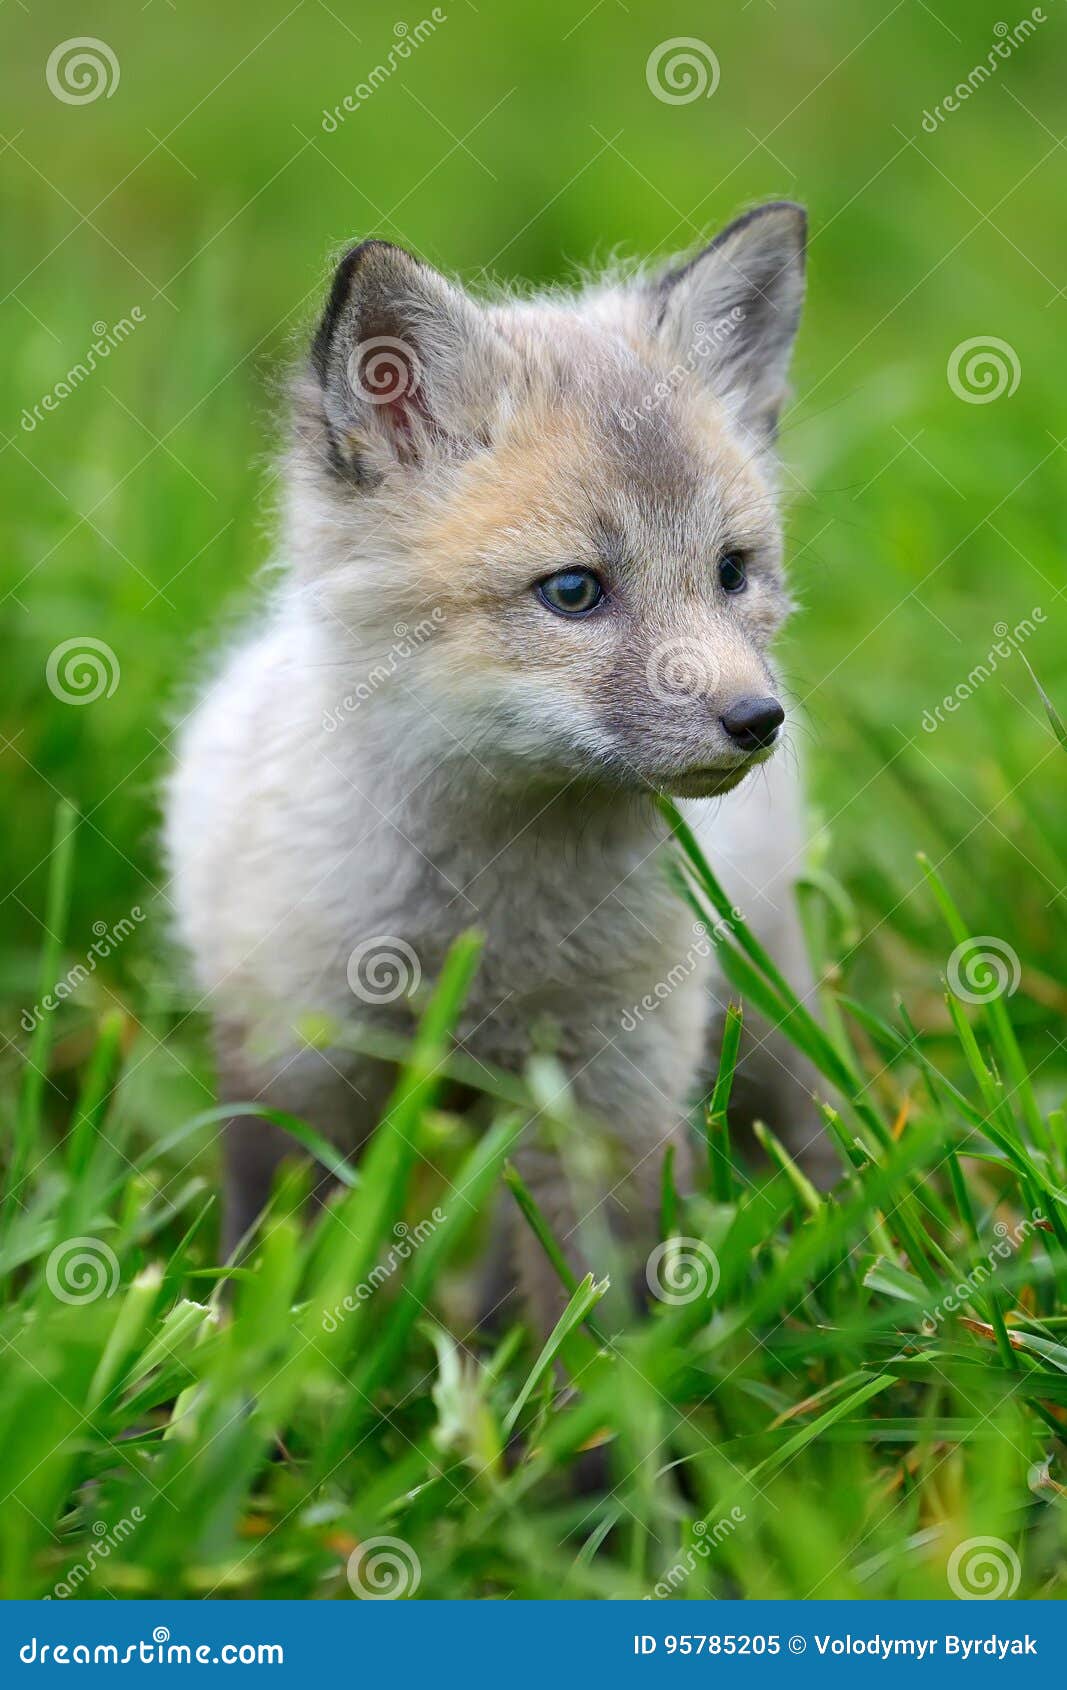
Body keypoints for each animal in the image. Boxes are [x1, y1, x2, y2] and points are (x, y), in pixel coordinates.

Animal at [164, 200, 831, 1327]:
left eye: (732, 572)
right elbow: (270, 1260)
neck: (486, 923)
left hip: (760, 995)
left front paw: (588, 1387)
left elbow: (593, 1314)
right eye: (572, 592)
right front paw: (238, 1368)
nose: (756, 718)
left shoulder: (609, 1091)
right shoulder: (294, 1056)